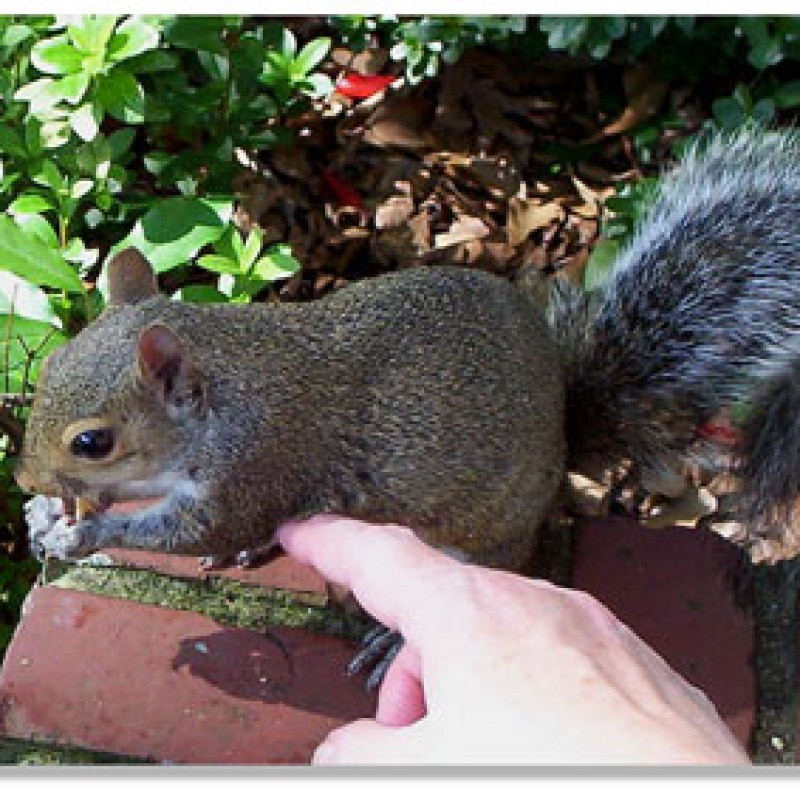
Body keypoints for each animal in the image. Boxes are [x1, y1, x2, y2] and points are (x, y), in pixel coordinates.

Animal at [15, 124, 800, 574]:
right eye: (49, 366)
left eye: (92, 443)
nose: (21, 479)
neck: (228, 393)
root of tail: (563, 438)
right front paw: (46, 519)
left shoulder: (258, 470)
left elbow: (188, 529)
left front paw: (81, 536)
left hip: (486, 530)